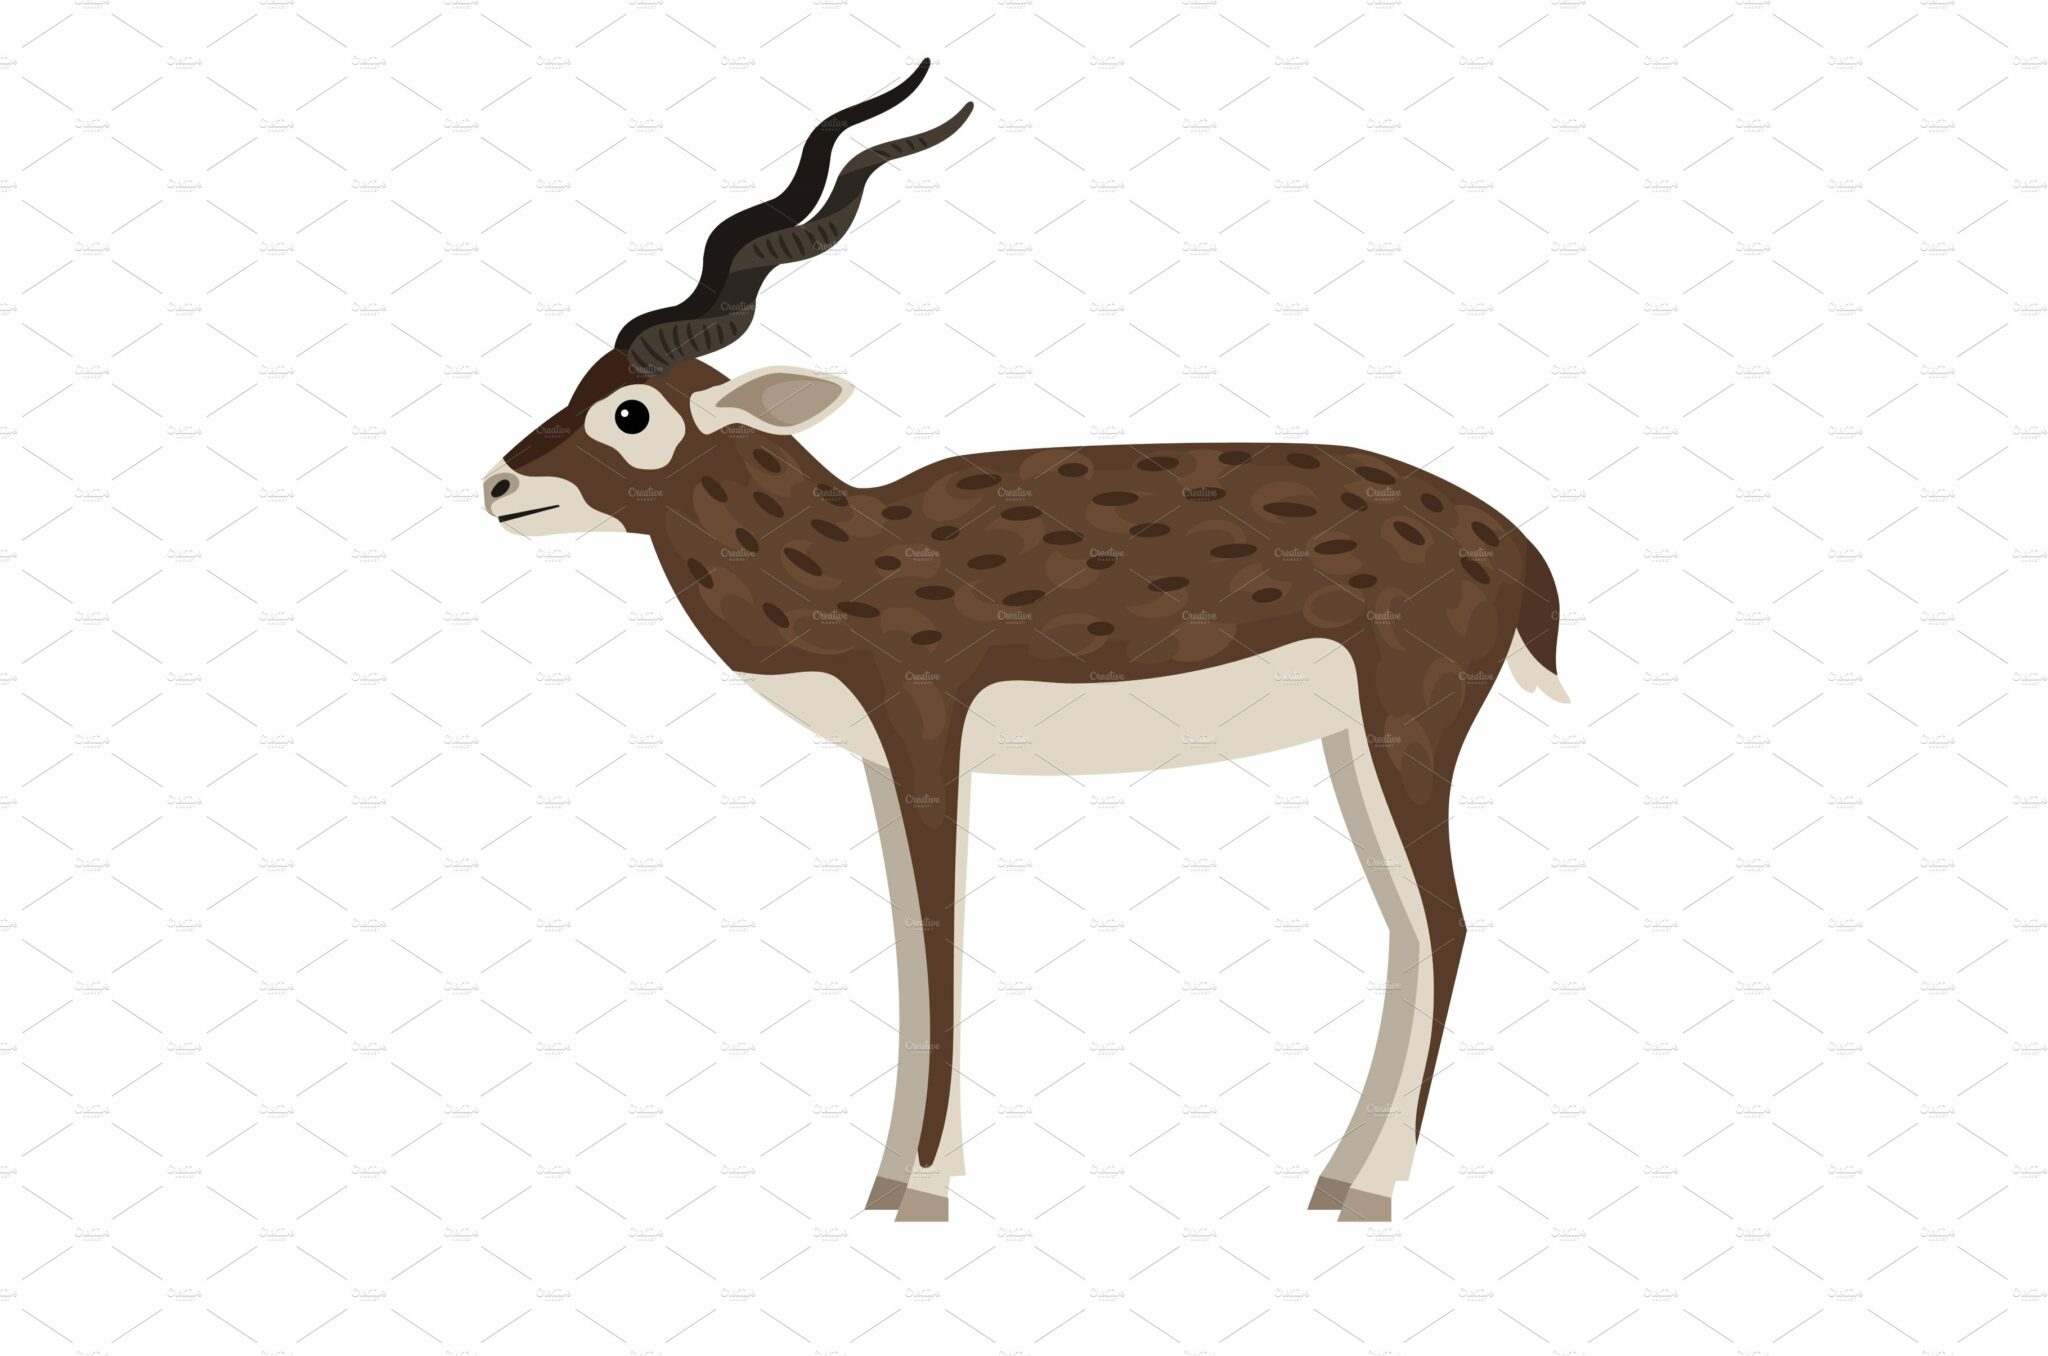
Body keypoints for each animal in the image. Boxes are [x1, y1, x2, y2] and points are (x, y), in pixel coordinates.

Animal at [481, 60, 1568, 1223]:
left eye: (632, 412)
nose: (497, 485)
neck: (850, 552)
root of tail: (1514, 546)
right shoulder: (886, 760)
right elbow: (910, 937)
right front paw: (893, 1179)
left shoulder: (927, 726)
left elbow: (938, 932)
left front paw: (919, 1191)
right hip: (1349, 743)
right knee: (1410, 924)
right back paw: (1334, 1179)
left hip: (1406, 727)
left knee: (1443, 922)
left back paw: (1362, 1188)